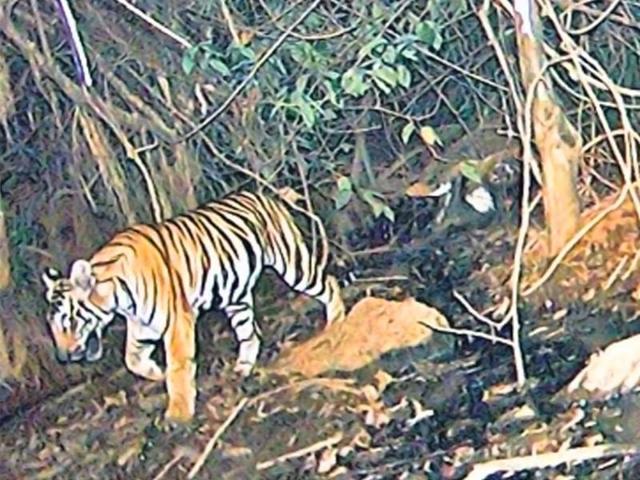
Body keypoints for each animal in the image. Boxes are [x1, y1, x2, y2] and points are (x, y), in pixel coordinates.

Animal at [42, 191, 346, 422]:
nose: (61, 357)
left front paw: (178, 414)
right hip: (236, 297)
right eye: (53, 327)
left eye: (69, 322)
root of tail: (264, 195)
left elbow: (178, 367)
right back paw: (242, 369)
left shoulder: (176, 321)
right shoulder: (143, 325)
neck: (117, 295)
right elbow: (132, 359)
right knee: (251, 333)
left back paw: (337, 323)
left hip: (292, 265)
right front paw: (156, 372)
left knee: (328, 282)